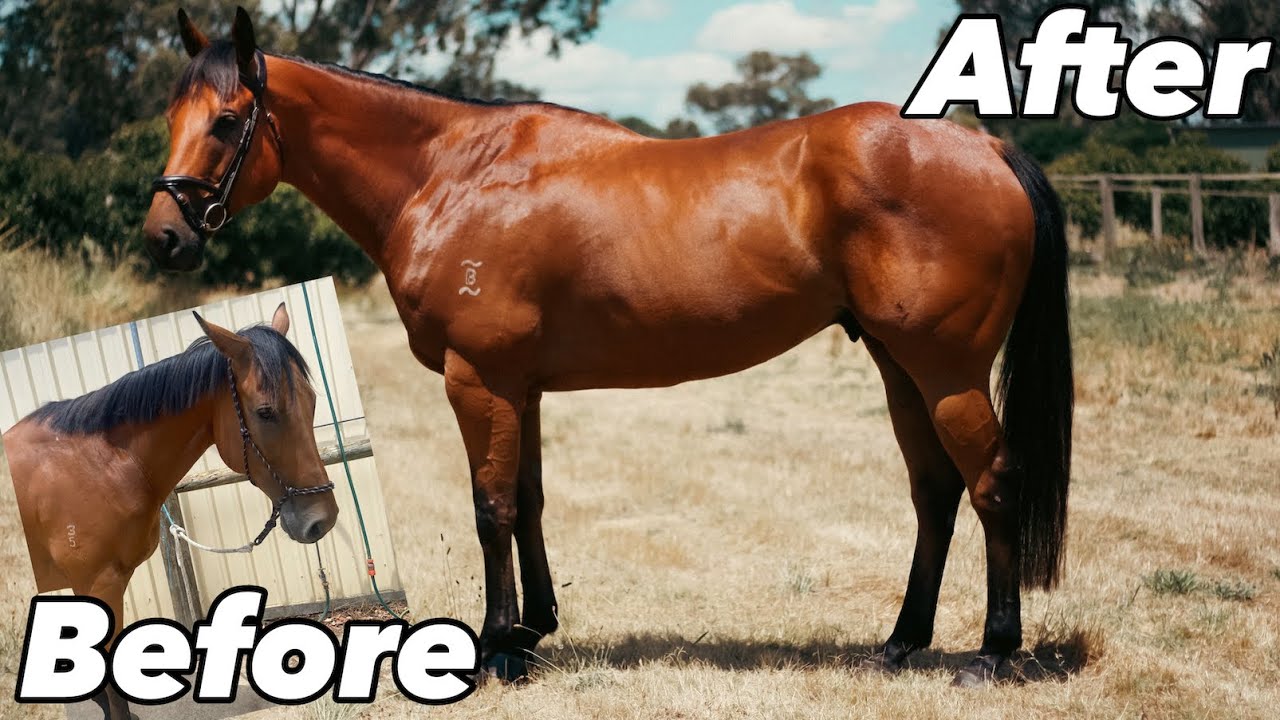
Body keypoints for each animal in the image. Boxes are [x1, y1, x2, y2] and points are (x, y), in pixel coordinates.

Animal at [143, 7, 1073, 688]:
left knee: (992, 483)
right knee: (934, 491)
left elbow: (490, 509)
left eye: (226, 122)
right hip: (898, 364)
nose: (163, 237)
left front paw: (496, 648)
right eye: (171, 116)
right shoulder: (519, 386)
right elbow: (529, 502)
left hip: (946, 370)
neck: (452, 175)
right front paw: (534, 629)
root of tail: (983, 144)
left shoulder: (478, 380)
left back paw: (993, 652)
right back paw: (901, 642)